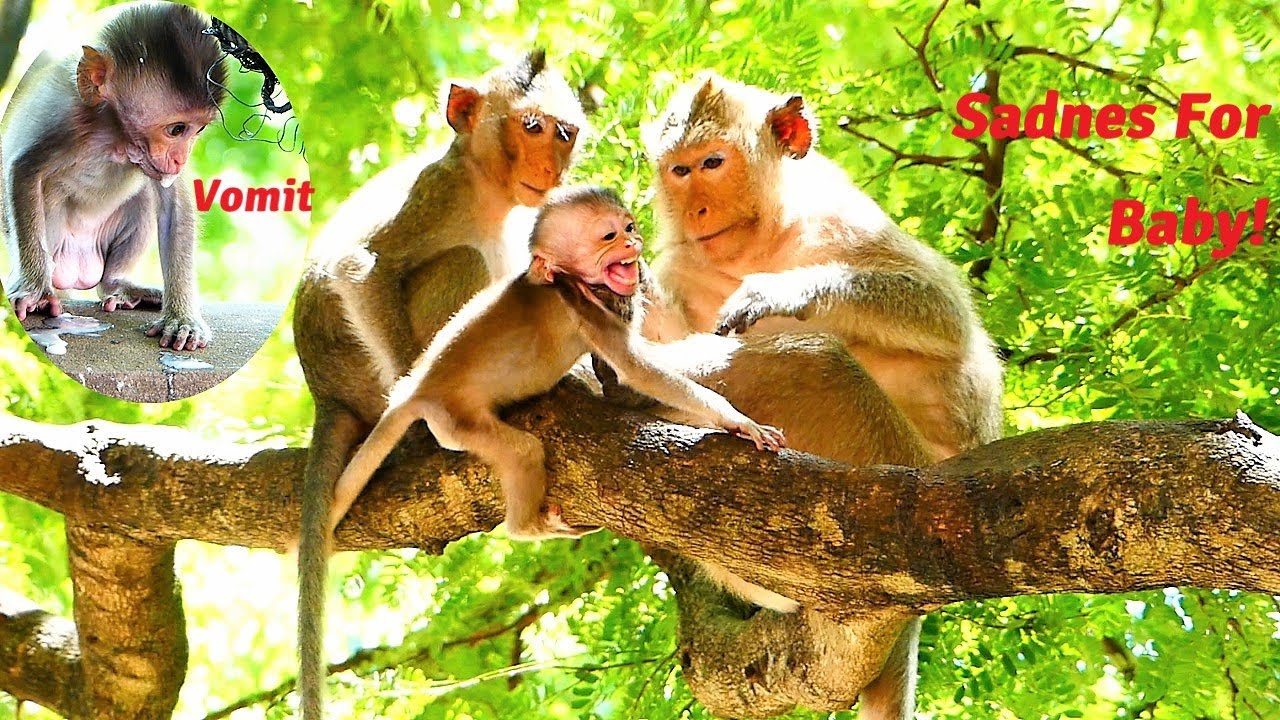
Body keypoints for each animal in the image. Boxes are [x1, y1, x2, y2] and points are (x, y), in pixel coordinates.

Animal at [0, 1, 225, 350]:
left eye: (197, 130)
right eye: (177, 129)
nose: (180, 159)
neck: (117, 136)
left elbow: (174, 204)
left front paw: (182, 320)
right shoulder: (68, 124)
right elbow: (25, 171)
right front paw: (35, 290)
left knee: (142, 199)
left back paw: (118, 284)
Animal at [291, 51, 588, 719]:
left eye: (563, 133)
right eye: (531, 127)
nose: (549, 166)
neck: (485, 189)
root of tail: (325, 391)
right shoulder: (435, 195)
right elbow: (360, 268)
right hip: (362, 368)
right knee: (463, 264)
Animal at [326, 186, 784, 543]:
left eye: (629, 227)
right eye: (608, 235)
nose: (632, 243)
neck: (572, 282)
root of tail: (416, 391)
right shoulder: (582, 307)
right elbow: (637, 369)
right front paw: (740, 422)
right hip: (457, 420)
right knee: (524, 452)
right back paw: (531, 526)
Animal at [637, 73, 1005, 720]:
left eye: (712, 163)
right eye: (679, 171)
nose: (697, 208)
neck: (763, 241)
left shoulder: (843, 214)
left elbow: (942, 314)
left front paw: (778, 292)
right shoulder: (683, 265)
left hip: (886, 454)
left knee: (818, 362)